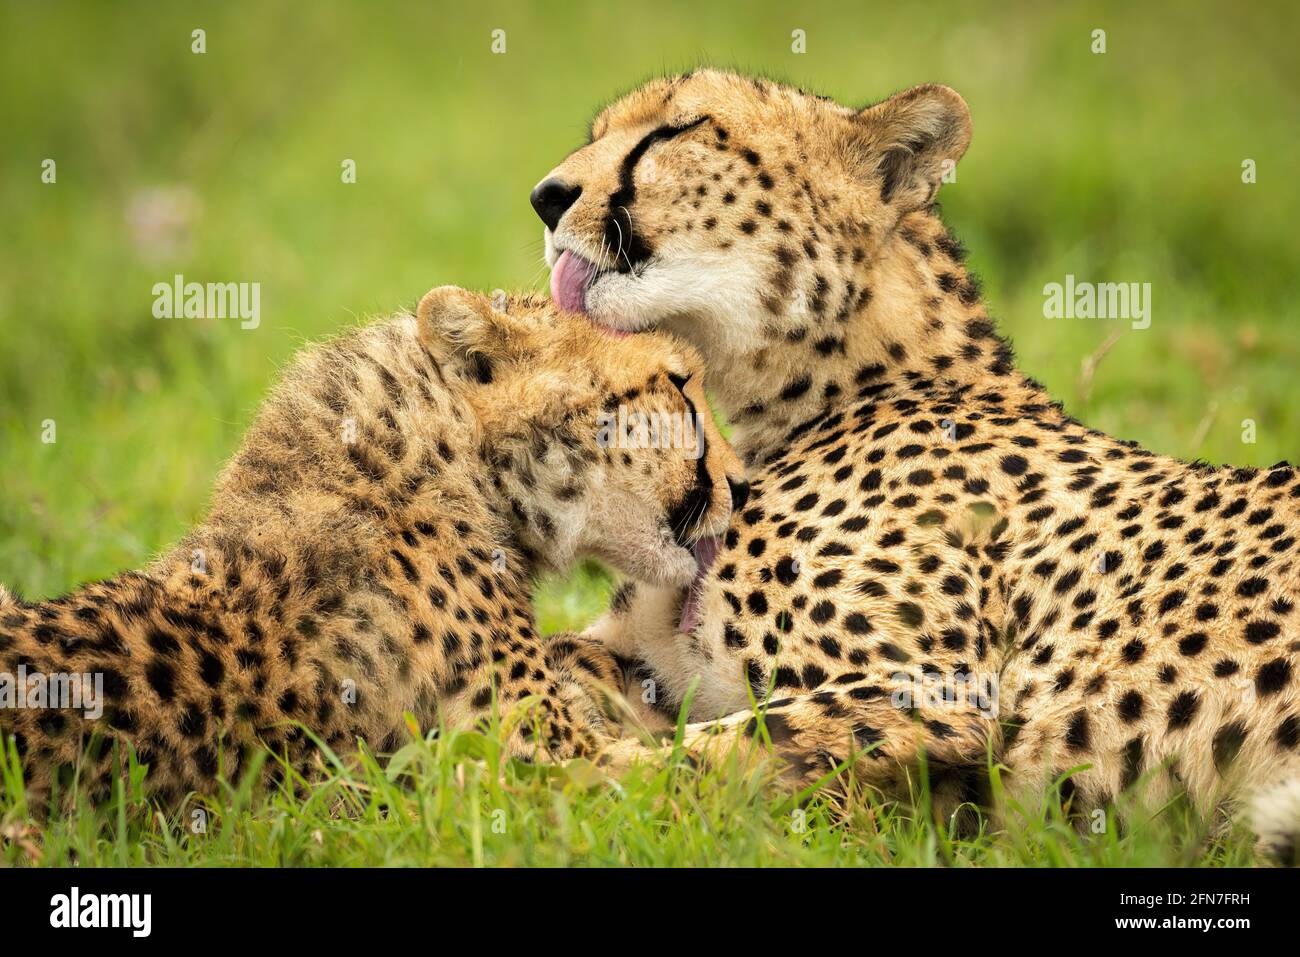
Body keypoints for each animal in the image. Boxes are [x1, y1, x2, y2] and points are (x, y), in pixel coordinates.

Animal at [528, 68, 1300, 859]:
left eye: (676, 130)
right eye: (598, 135)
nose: (546, 197)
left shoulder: (939, 698)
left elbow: (683, 754)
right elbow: (564, 661)